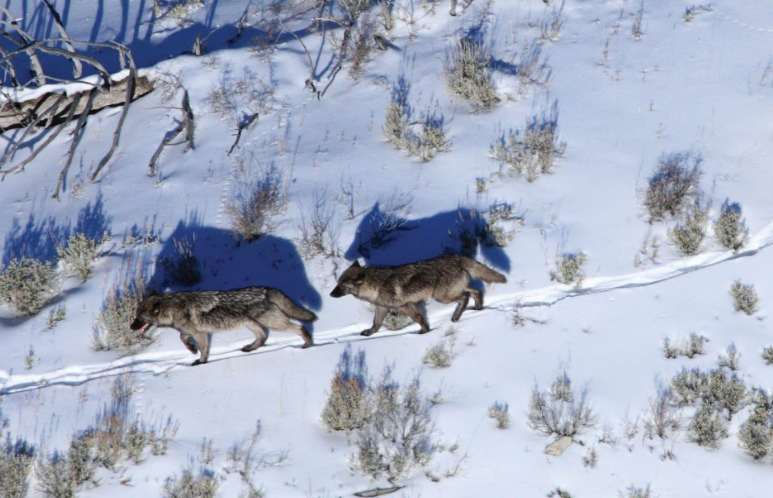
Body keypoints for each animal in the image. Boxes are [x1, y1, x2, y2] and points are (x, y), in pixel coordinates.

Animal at [130, 287, 316, 365]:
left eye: (139, 318)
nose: (131, 327)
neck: (169, 309)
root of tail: (265, 289)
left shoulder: (200, 333)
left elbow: (203, 350)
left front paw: (201, 361)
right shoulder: (192, 332)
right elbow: (183, 338)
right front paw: (192, 349)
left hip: (274, 324)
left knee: (300, 328)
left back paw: (308, 345)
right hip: (251, 324)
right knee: (262, 337)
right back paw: (250, 348)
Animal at [329, 254, 506, 336]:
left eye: (341, 286)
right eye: (337, 284)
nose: (330, 294)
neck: (376, 285)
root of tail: (457, 257)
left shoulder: (405, 306)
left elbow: (419, 318)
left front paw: (425, 332)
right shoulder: (382, 308)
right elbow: (376, 323)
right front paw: (369, 332)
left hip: (441, 297)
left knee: (465, 297)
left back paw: (456, 317)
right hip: (454, 291)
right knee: (476, 291)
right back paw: (477, 309)